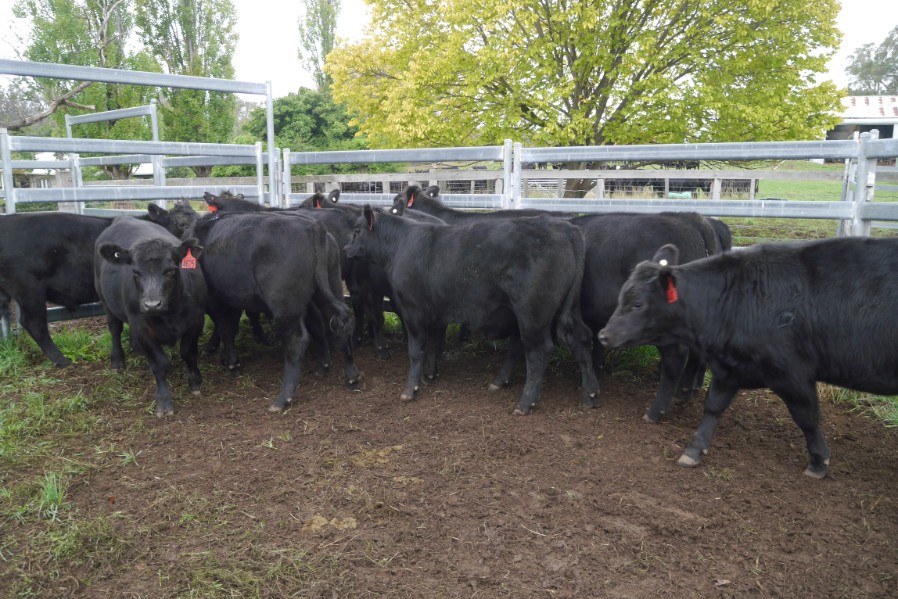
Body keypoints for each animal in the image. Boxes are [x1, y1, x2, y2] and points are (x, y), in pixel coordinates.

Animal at [94, 217, 207, 417]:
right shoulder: (142, 328)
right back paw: (117, 361)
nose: (152, 304)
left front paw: (195, 382)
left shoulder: (196, 320)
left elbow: (188, 352)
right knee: (114, 328)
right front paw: (163, 401)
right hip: (105, 300)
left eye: (170, 270)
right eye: (135, 272)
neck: (171, 313)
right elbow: (159, 364)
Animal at [185, 210, 357, 412]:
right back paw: (349, 376)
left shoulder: (217, 300)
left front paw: (231, 364)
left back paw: (283, 399)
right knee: (337, 324)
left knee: (296, 341)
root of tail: (314, 227)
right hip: (330, 286)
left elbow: (226, 329)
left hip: (284, 305)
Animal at [344, 205, 599, 414]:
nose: (345, 249)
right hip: (561, 311)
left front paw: (410, 389)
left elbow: (416, 351)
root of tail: (564, 227)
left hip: (532, 314)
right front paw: (430, 374)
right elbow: (432, 345)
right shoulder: (434, 312)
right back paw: (589, 393)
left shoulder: (413, 312)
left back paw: (526, 402)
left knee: (538, 351)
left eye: (356, 231)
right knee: (578, 339)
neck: (401, 245)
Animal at [597, 237, 898, 478]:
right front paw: (694, 449)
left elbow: (808, 418)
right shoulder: (728, 369)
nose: (603, 335)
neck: (736, 298)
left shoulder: (792, 376)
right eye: (622, 296)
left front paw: (818, 462)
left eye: (638, 304)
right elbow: (713, 407)